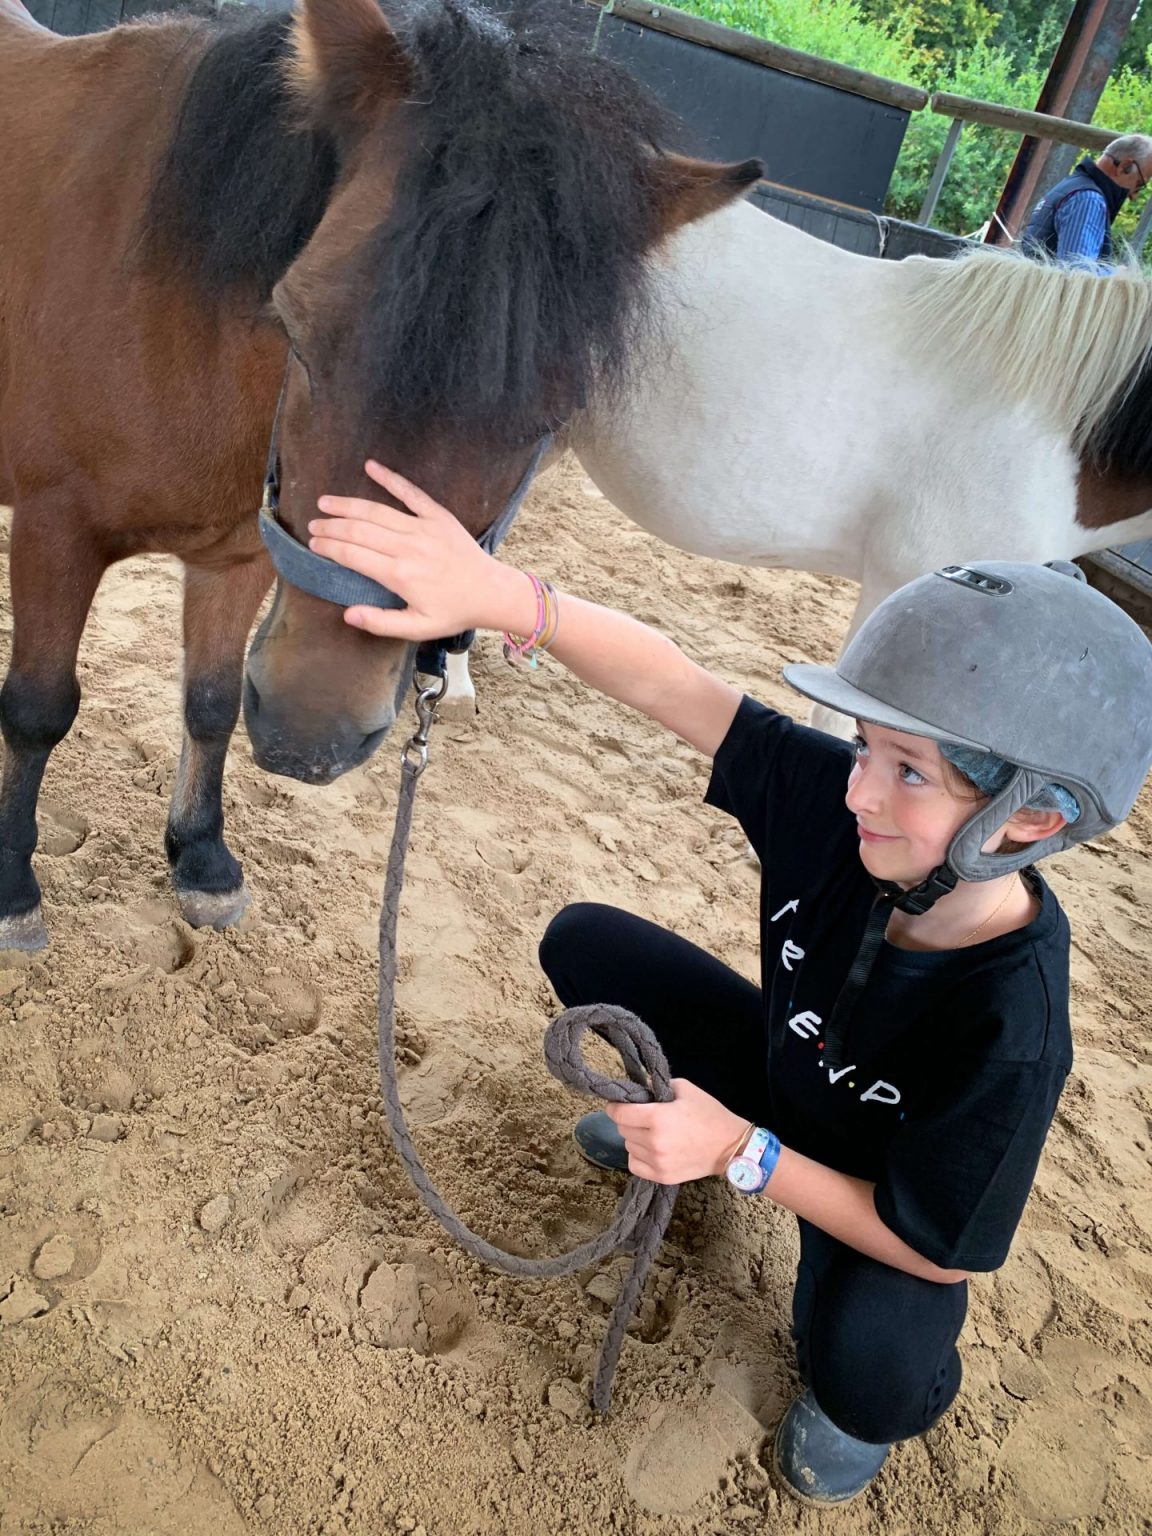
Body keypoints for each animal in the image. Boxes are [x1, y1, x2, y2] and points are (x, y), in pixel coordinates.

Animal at [0, 0, 759, 951]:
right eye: (294, 328)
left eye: (549, 420)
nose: (310, 734)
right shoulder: (54, 530)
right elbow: (37, 706)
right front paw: (12, 889)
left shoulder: (240, 555)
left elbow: (209, 701)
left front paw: (201, 858)